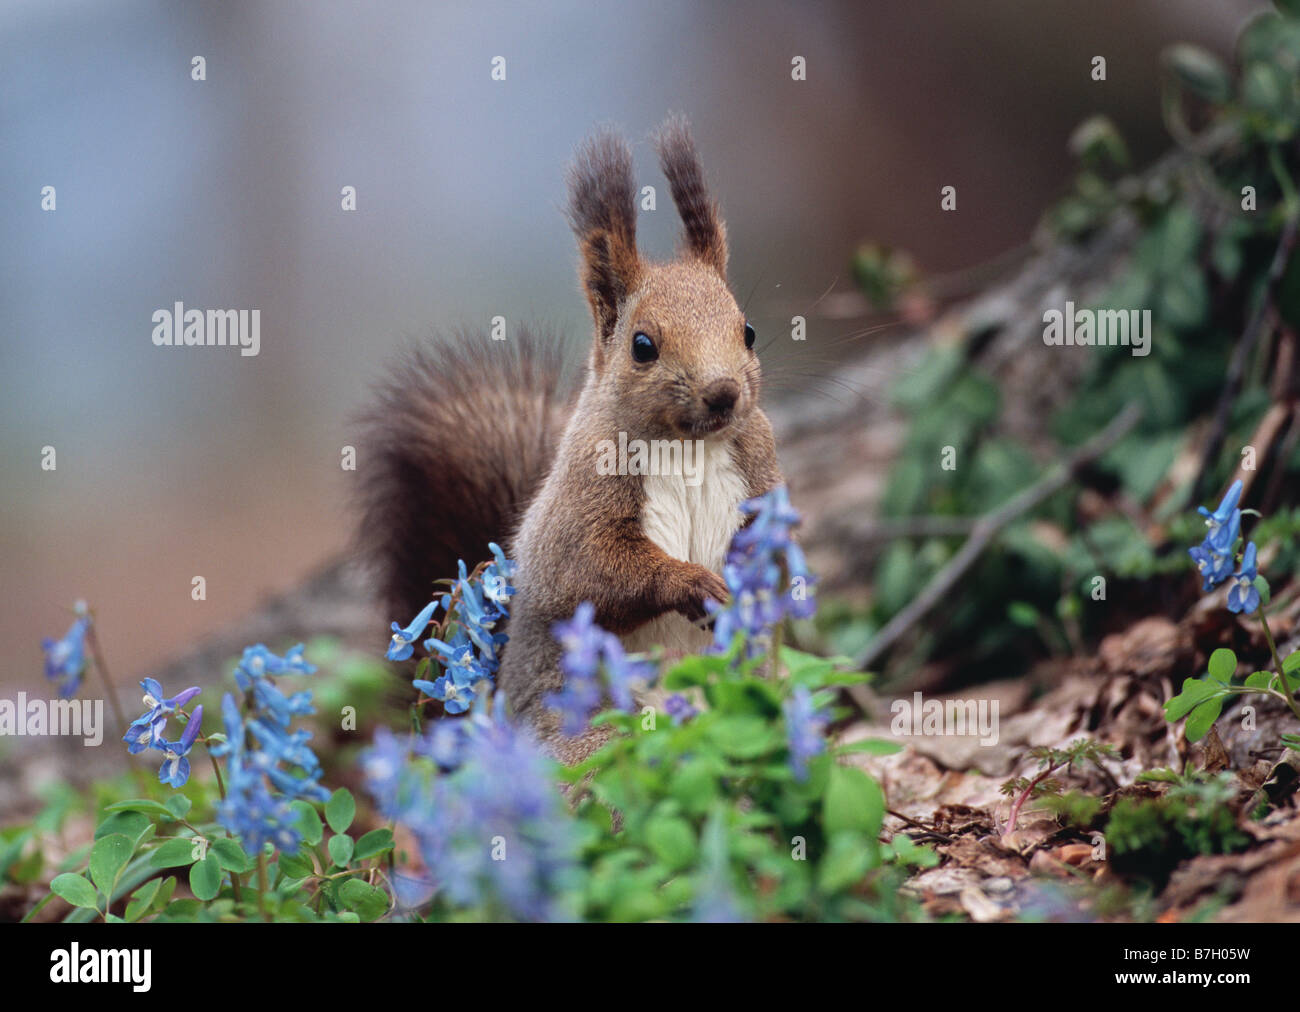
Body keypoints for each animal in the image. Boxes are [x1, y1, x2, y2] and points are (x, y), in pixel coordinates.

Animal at [356, 117, 782, 760]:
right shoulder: (582, 501)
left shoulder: (760, 470)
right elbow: (591, 570)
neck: (690, 447)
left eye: (749, 331)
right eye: (642, 345)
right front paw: (693, 582)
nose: (724, 393)